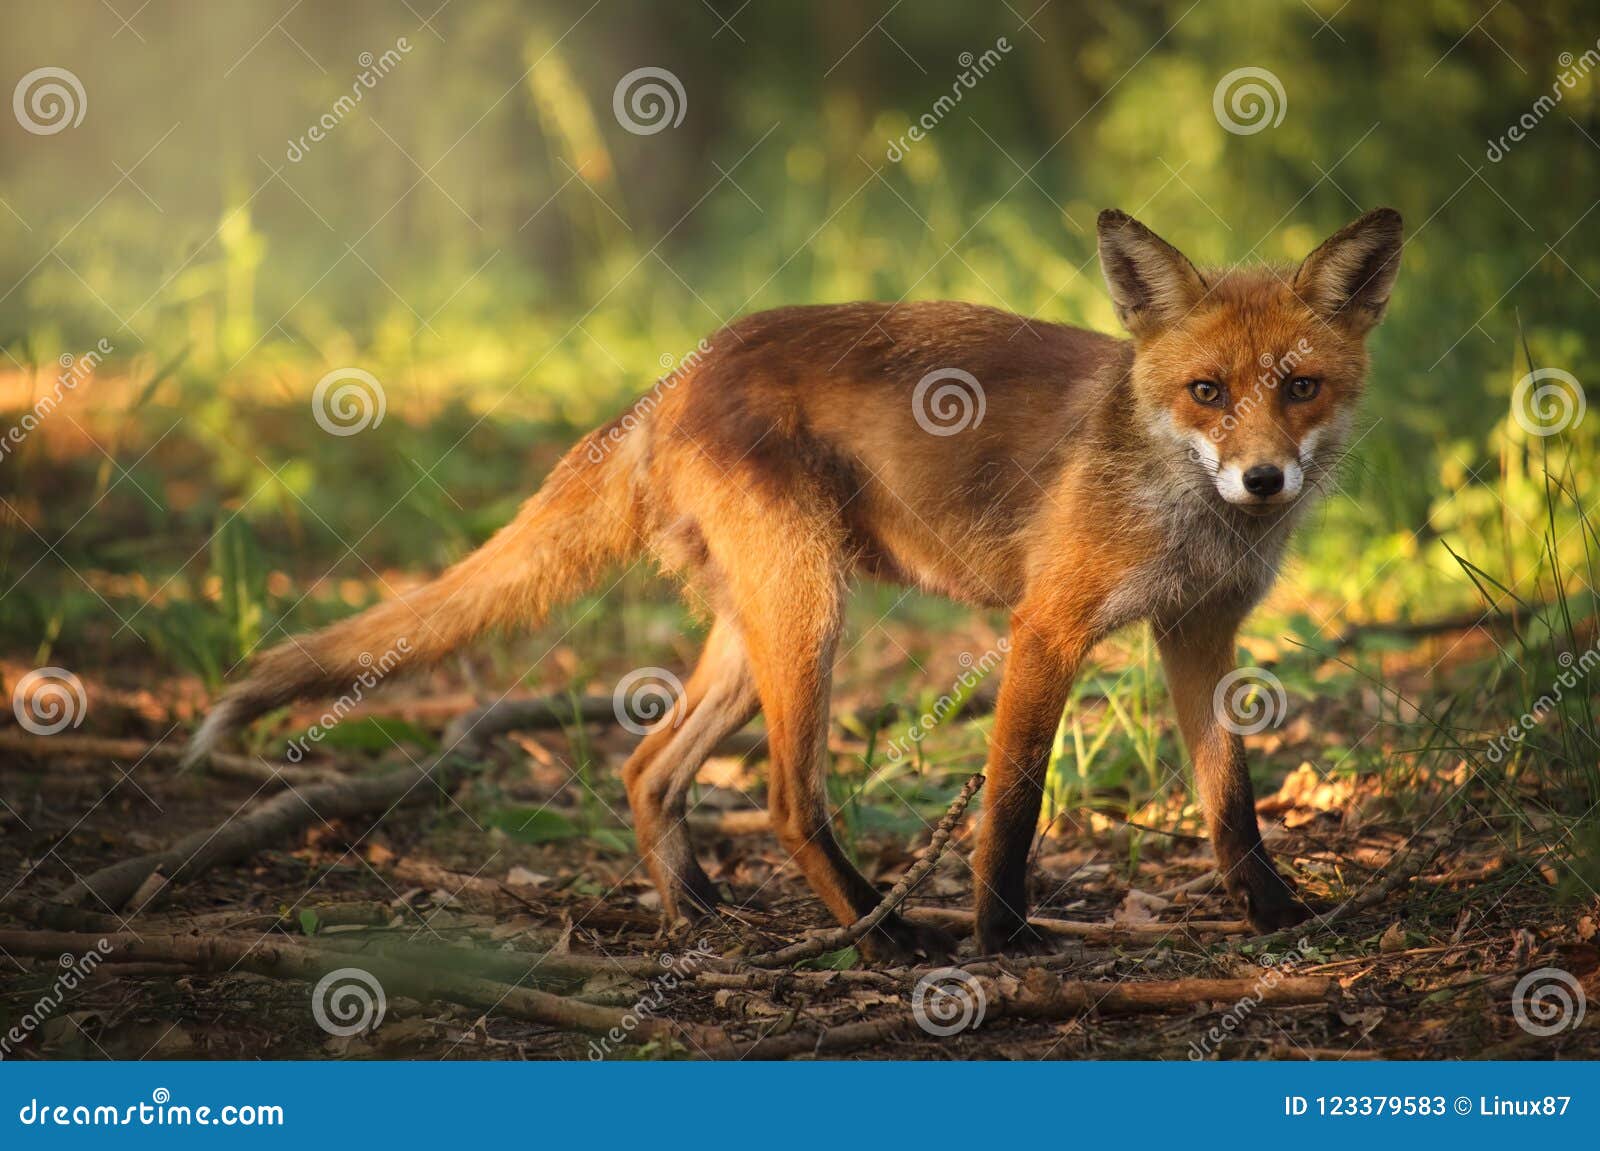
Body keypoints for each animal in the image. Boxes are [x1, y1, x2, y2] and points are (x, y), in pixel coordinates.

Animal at [184, 206, 1403, 960]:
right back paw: (876, 932)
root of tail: (677, 374)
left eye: (1300, 386)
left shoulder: (1199, 632)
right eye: (1207, 391)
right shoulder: (1046, 627)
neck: (1188, 512)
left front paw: (1279, 914)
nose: (1264, 477)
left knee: (645, 767)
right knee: (783, 799)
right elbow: (1012, 805)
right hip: (810, 617)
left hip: (753, 633)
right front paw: (1002, 937)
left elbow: (1231, 800)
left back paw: (697, 916)